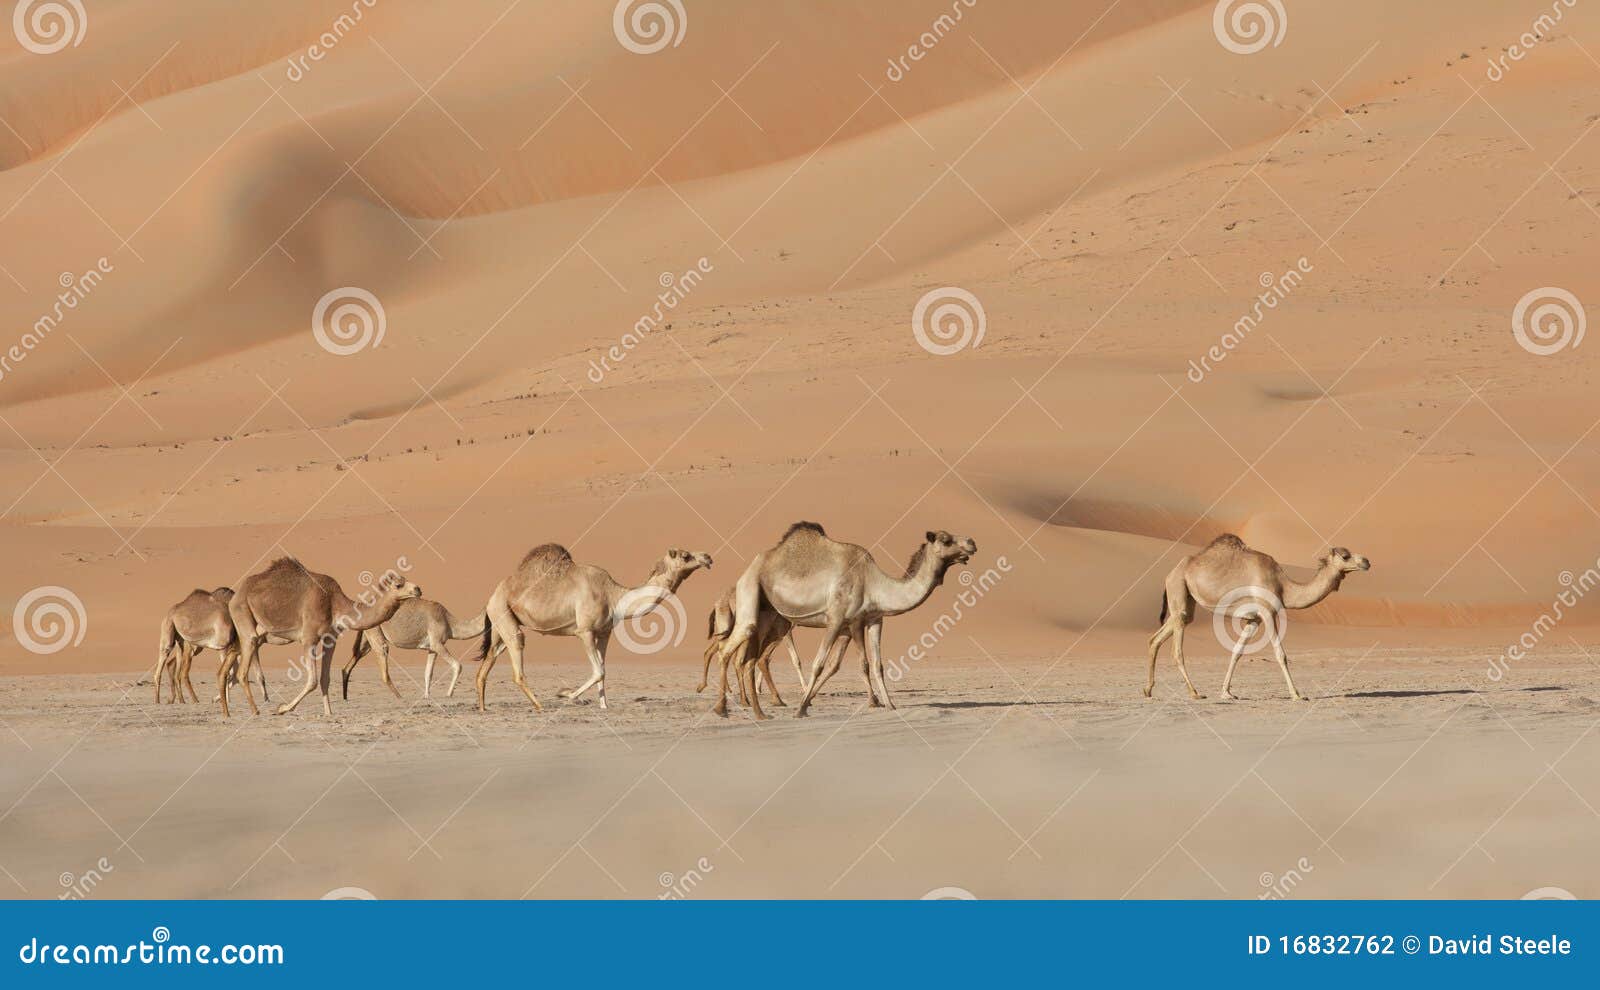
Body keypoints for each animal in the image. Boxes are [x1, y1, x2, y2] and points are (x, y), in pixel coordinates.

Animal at [226, 558, 422, 717]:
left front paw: (329, 712)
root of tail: (236, 594)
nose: (418, 589)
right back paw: (255, 711)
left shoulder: (330, 639)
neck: (334, 604)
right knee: (242, 670)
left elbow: (325, 678)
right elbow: (312, 681)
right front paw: (282, 708)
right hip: (243, 616)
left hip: (257, 632)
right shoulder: (309, 638)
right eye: (398, 585)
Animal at [339, 598, 487, 700]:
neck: (450, 622)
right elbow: (457, 665)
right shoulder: (437, 643)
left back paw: (345, 697)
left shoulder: (432, 648)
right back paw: (400, 697)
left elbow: (428, 673)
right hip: (375, 632)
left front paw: (426, 696)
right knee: (383, 665)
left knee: (353, 659)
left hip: (368, 636)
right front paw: (448, 694)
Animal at [468, 544, 712, 712]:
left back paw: (483, 707)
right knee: (517, 662)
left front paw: (604, 706)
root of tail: (491, 597)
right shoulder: (584, 631)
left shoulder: (604, 633)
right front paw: (566, 695)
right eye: (685, 555)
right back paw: (539, 705)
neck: (614, 596)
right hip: (505, 616)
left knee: (488, 662)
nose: (708, 557)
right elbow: (598, 671)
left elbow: (603, 670)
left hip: (500, 624)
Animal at [717, 523, 976, 720]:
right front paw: (801, 708)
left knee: (752, 659)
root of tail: (751, 567)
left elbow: (876, 665)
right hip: (750, 592)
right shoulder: (839, 618)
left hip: (774, 619)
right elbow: (823, 664)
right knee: (729, 650)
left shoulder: (873, 621)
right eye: (946, 540)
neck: (874, 583)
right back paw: (723, 709)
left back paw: (760, 712)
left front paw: (889, 705)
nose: (972, 543)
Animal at [1147, 534, 1371, 702]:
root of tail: (1172, 572)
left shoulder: (1254, 619)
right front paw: (1297, 695)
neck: (1283, 586)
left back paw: (1147, 689)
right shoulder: (1267, 612)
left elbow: (1237, 651)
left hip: (1185, 600)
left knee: (1157, 637)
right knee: (1177, 649)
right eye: (1345, 556)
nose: (1367, 561)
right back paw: (1194, 693)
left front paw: (1226, 692)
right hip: (1178, 587)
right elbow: (1280, 654)